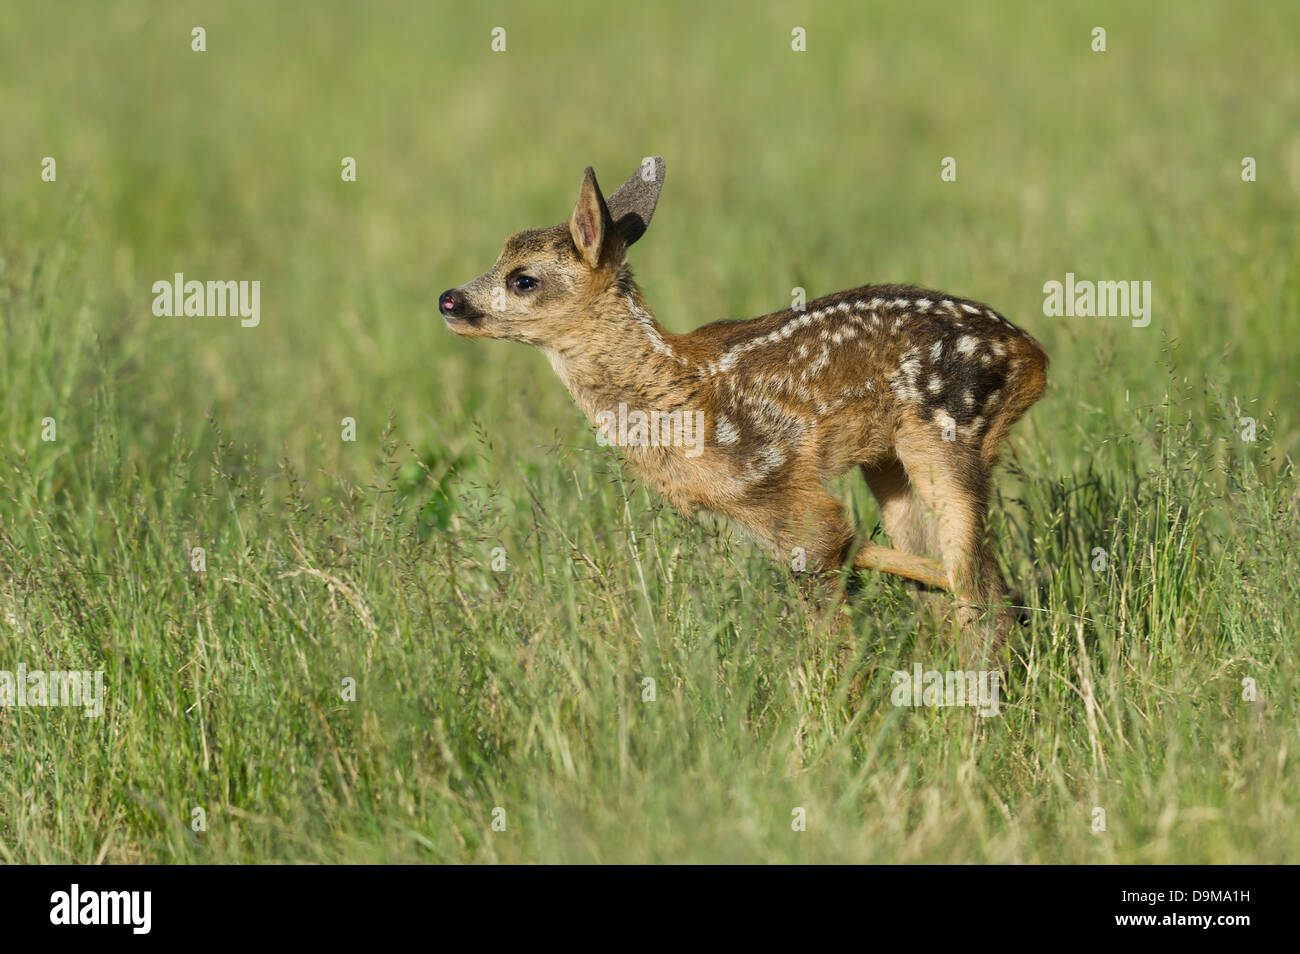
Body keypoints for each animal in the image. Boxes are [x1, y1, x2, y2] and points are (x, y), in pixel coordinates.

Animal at [439, 157, 1048, 662]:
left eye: (522, 279)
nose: (448, 298)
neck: (681, 400)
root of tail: (1033, 355)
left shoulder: (781, 493)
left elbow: (835, 629)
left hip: (949, 432)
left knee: (980, 596)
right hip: (888, 462)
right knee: (962, 587)